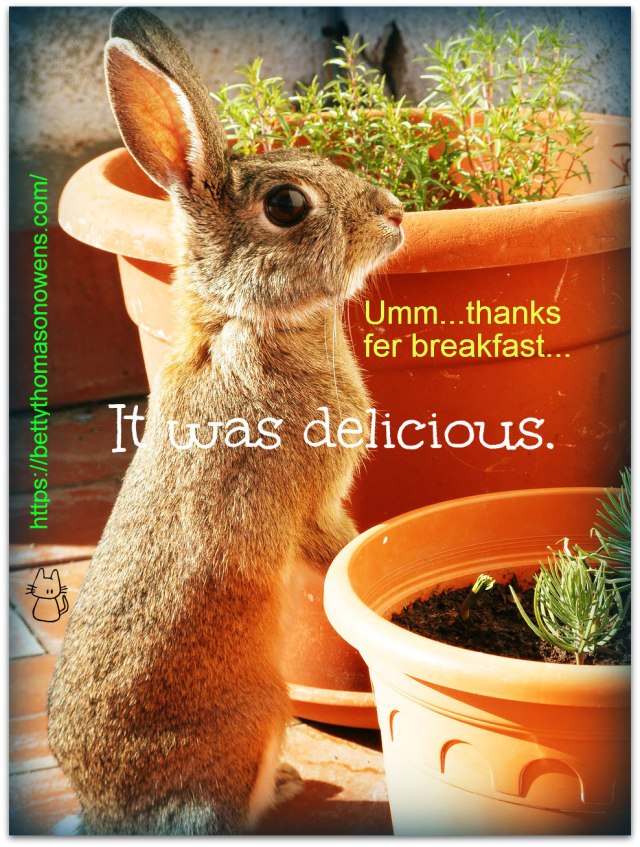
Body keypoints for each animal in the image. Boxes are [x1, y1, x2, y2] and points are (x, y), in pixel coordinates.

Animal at [47, 7, 404, 836]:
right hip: (255, 720)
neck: (251, 321)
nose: (395, 213)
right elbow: (334, 546)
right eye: (287, 206)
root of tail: (110, 816)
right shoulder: (309, 500)